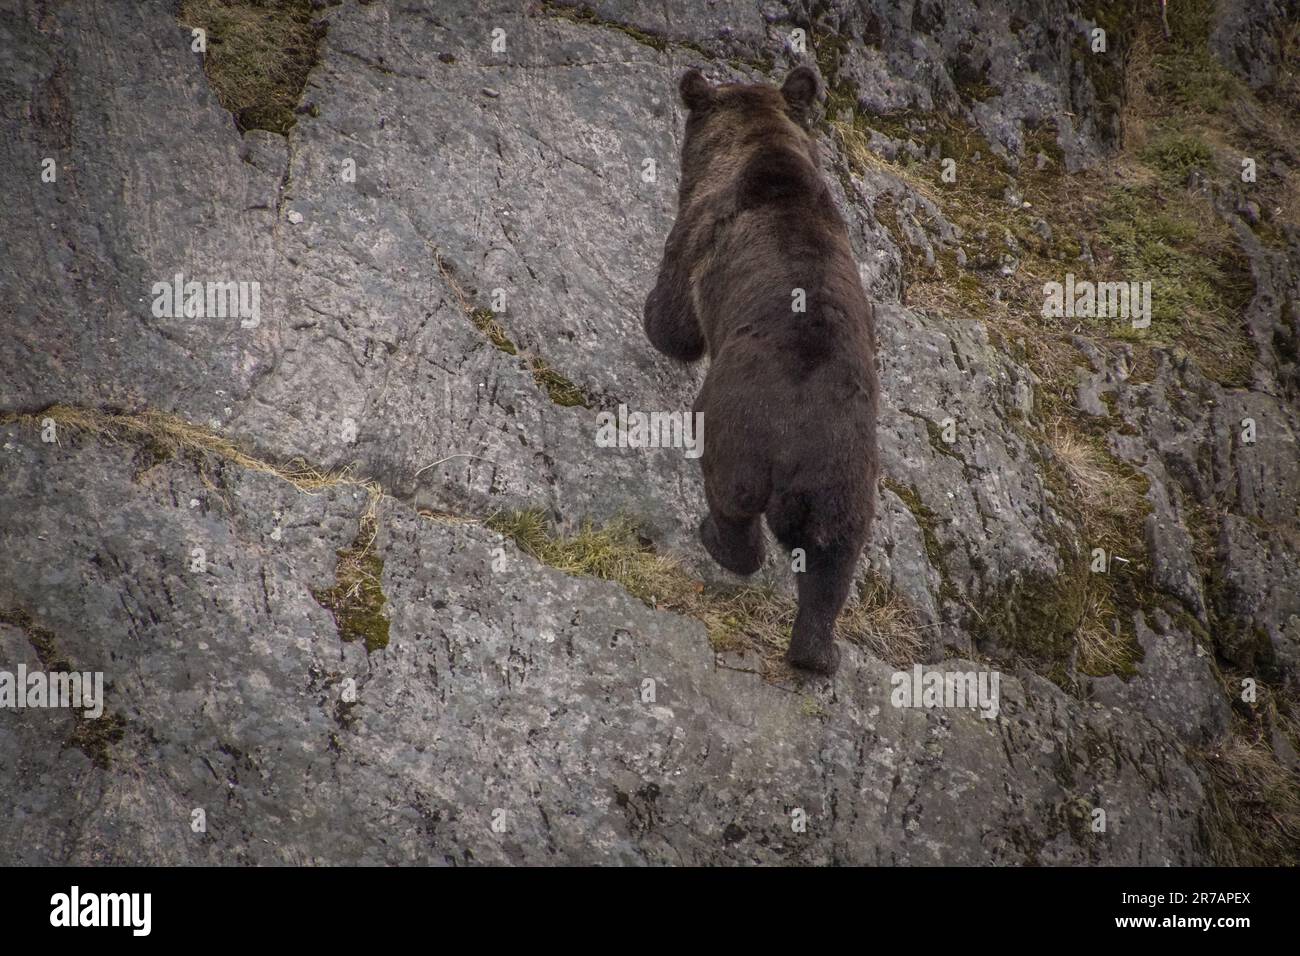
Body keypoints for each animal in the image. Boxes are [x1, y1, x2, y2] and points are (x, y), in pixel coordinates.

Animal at [643, 65, 879, 676]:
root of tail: (800, 444)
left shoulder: (699, 233)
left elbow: (674, 318)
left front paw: (655, 322)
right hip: (847, 479)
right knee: (832, 563)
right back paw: (819, 653)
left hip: (737, 430)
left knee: (732, 501)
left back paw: (716, 539)